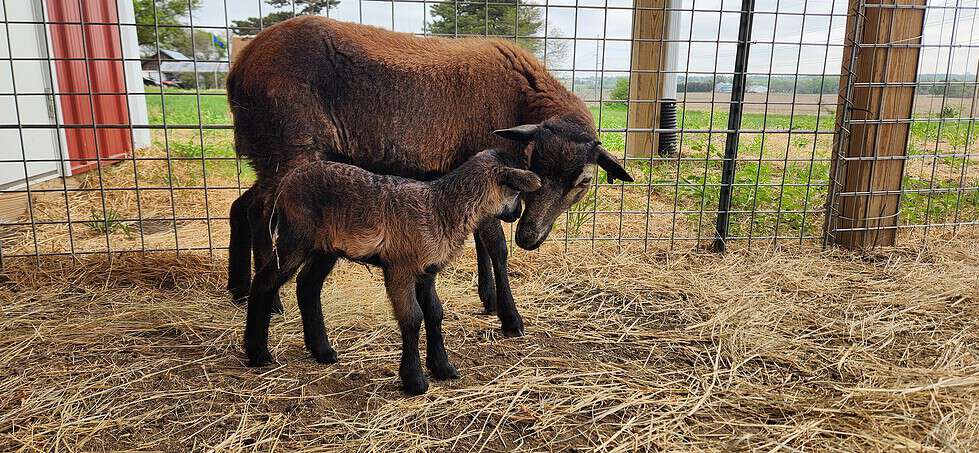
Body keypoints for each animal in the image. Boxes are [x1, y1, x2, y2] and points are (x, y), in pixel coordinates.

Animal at [226, 16, 634, 338]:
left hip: (269, 153)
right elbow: (496, 248)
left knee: (240, 205)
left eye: (582, 183)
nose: (529, 237)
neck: (520, 99)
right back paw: (270, 300)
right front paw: (510, 317)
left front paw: (488, 297)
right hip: (289, 147)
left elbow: (480, 241)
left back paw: (239, 288)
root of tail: (240, 65)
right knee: (260, 212)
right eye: (534, 162)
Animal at [245, 149, 542, 395]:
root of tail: (286, 182)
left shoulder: (427, 272)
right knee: (264, 282)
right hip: (296, 236)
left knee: (307, 285)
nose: (516, 215)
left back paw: (323, 352)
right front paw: (415, 381)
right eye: (516, 193)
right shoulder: (400, 268)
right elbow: (412, 317)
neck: (441, 208)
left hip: (325, 247)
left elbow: (435, 313)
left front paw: (443, 368)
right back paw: (258, 353)